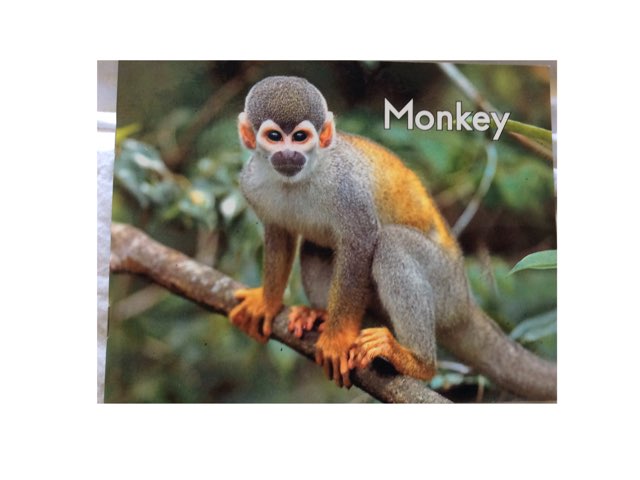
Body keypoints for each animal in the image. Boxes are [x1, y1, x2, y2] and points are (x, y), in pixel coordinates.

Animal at [229, 75, 557, 400]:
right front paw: (267, 303)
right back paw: (319, 315)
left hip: (445, 285)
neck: (296, 179)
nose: (289, 154)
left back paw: (417, 362)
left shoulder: (345, 188)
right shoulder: (251, 184)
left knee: (391, 244)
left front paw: (337, 339)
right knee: (315, 248)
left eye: (299, 137)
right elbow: (279, 234)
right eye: (274, 136)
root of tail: (465, 303)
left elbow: (361, 240)